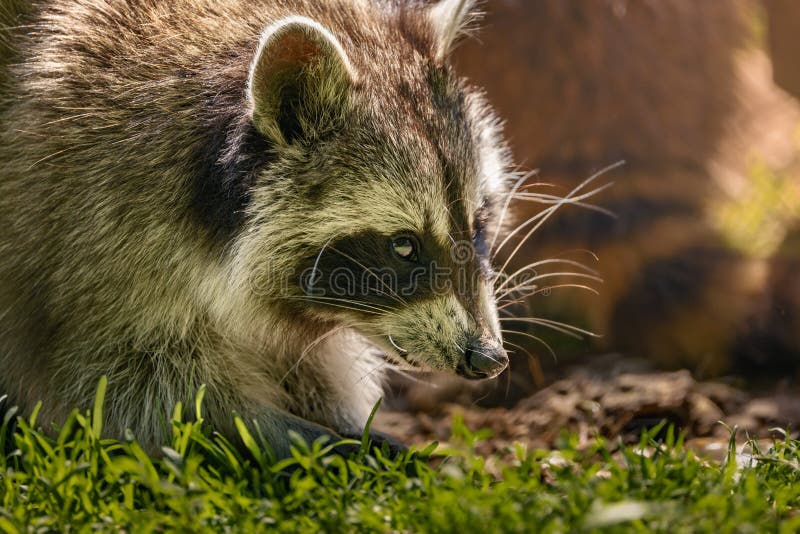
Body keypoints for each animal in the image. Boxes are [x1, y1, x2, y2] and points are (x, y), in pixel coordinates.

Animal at [0, 0, 511, 456]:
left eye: (478, 226)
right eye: (404, 246)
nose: (488, 358)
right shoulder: (79, 236)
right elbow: (125, 389)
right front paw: (287, 432)